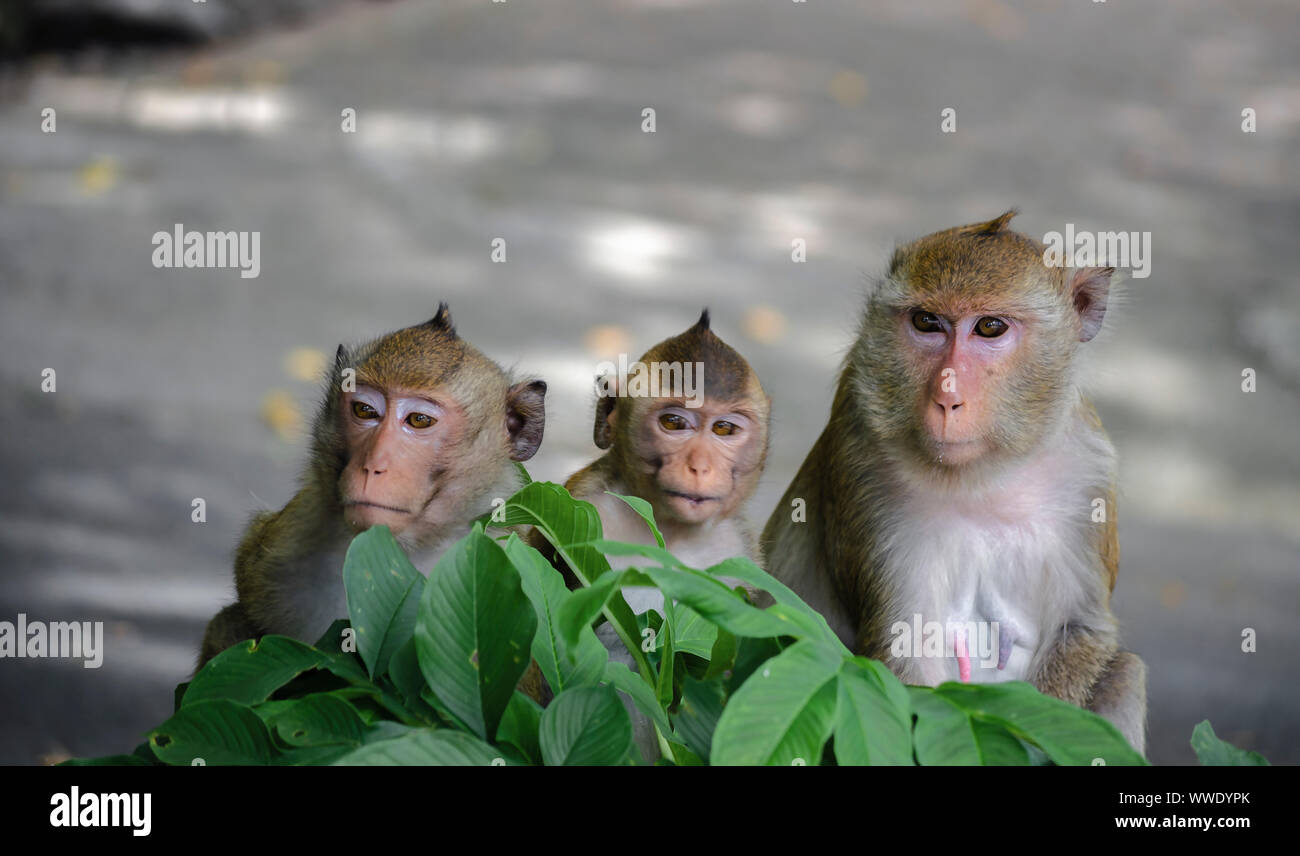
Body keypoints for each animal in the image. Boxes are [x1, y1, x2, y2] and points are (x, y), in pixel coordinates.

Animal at [760, 211, 1148, 755]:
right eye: (927, 323)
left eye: (989, 327)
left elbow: (1082, 628)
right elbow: (906, 649)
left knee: (1124, 671)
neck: (985, 475)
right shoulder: (863, 460)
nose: (947, 397)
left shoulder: (1088, 468)